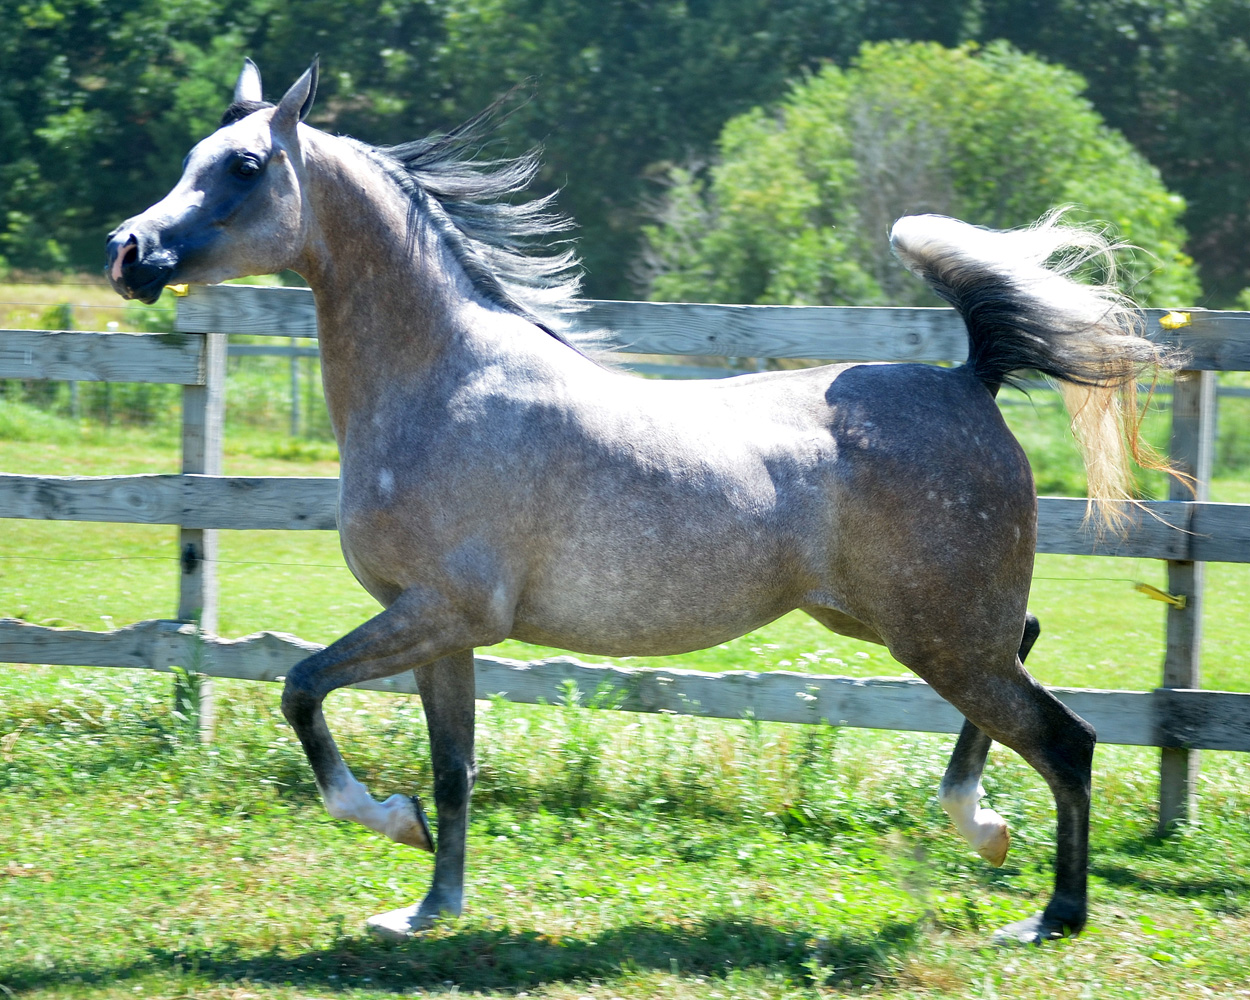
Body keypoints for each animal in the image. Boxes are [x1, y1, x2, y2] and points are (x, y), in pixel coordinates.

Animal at [106, 59, 1172, 944]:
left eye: (245, 165)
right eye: (193, 159)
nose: (129, 251)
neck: (442, 383)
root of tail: (970, 379)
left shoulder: (441, 613)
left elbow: (300, 688)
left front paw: (388, 824)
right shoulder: (441, 631)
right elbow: (453, 770)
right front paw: (427, 907)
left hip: (938, 635)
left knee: (1067, 740)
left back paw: (1048, 913)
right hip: (909, 625)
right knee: (1029, 655)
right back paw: (984, 830)